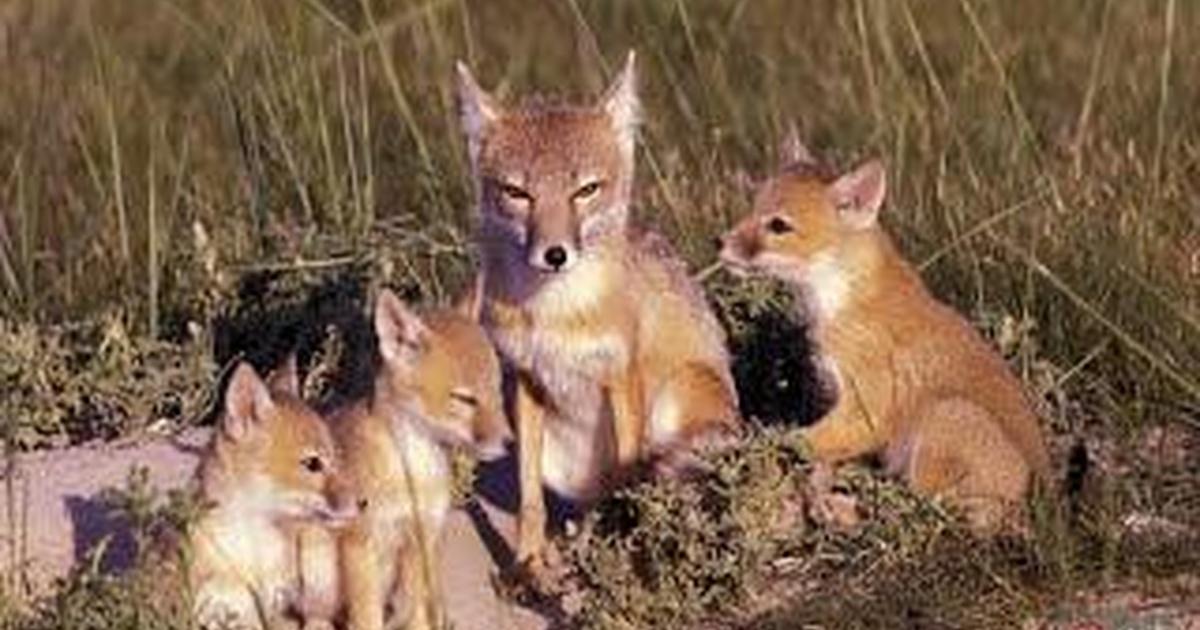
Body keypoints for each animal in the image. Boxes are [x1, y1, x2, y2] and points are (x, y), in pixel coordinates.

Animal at [327, 288, 508, 630]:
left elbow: (418, 617)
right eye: (465, 399)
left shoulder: (422, 539)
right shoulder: (361, 548)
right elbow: (368, 619)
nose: (508, 442)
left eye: (497, 390)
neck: (411, 473)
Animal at [456, 51, 742, 571]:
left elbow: (624, 481)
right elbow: (529, 498)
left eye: (585, 190)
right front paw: (527, 560)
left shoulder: (621, 378)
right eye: (518, 193)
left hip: (675, 398)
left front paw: (615, 550)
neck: (554, 312)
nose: (555, 254)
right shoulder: (526, 379)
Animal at [718, 136, 1051, 528]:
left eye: (778, 226)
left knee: (916, 508)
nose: (720, 243)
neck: (842, 297)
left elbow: (798, 440)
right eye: (753, 208)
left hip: (941, 421)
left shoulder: (866, 409)